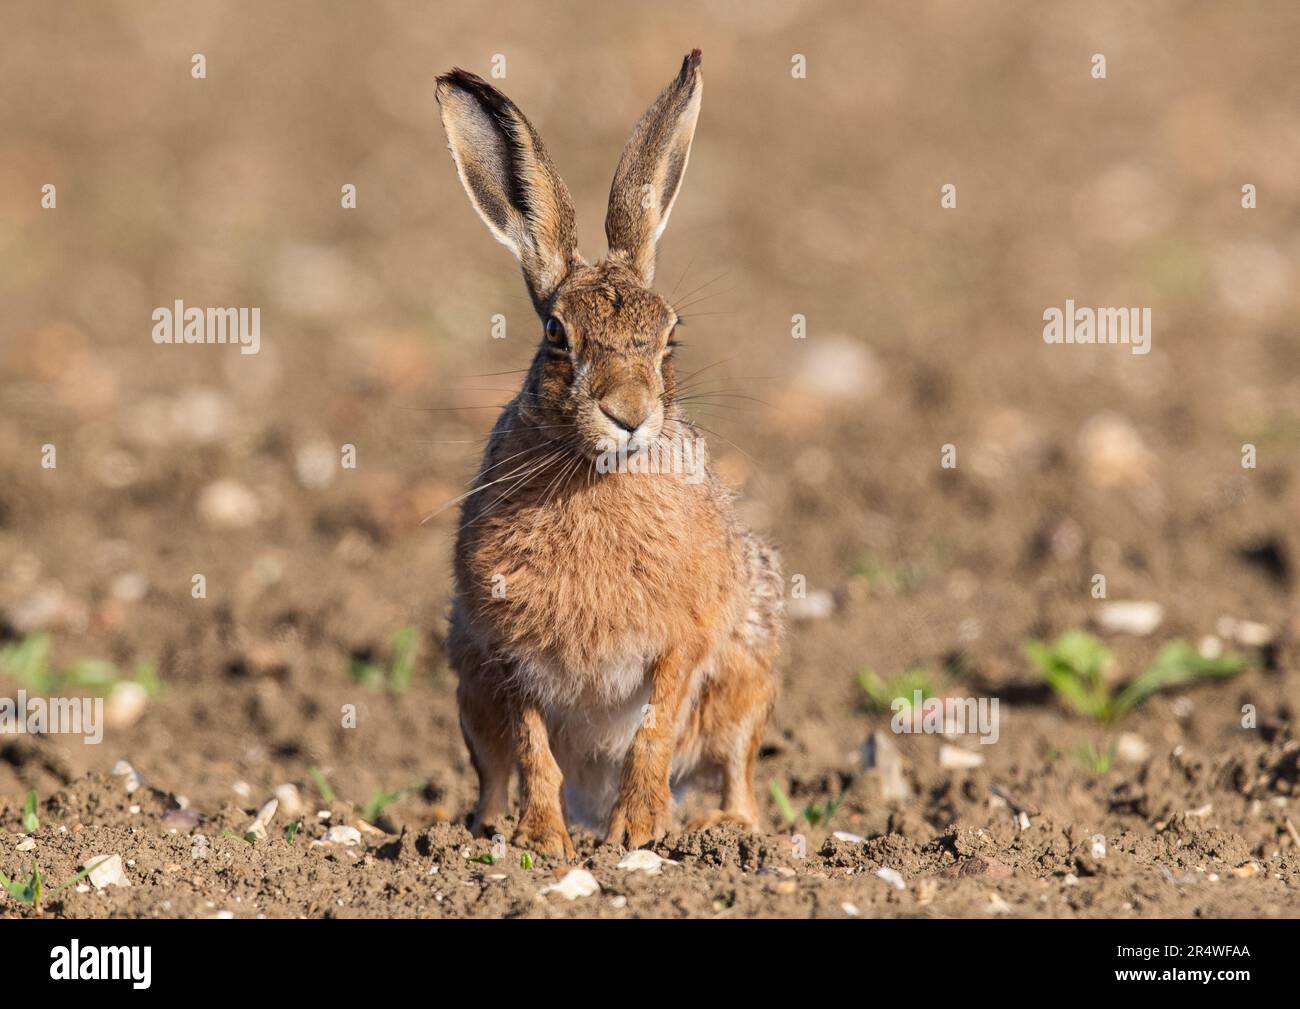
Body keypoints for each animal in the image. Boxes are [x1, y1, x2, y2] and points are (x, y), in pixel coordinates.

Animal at [436, 50, 783, 857]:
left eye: (670, 337)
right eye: (556, 335)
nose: (629, 415)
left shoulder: (685, 638)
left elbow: (654, 728)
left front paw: (640, 829)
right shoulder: (507, 654)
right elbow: (534, 747)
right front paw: (543, 841)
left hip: (749, 675)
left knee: (739, 774)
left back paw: (722, 829)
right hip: (468, 684)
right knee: (493, 770)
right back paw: (481, 829)